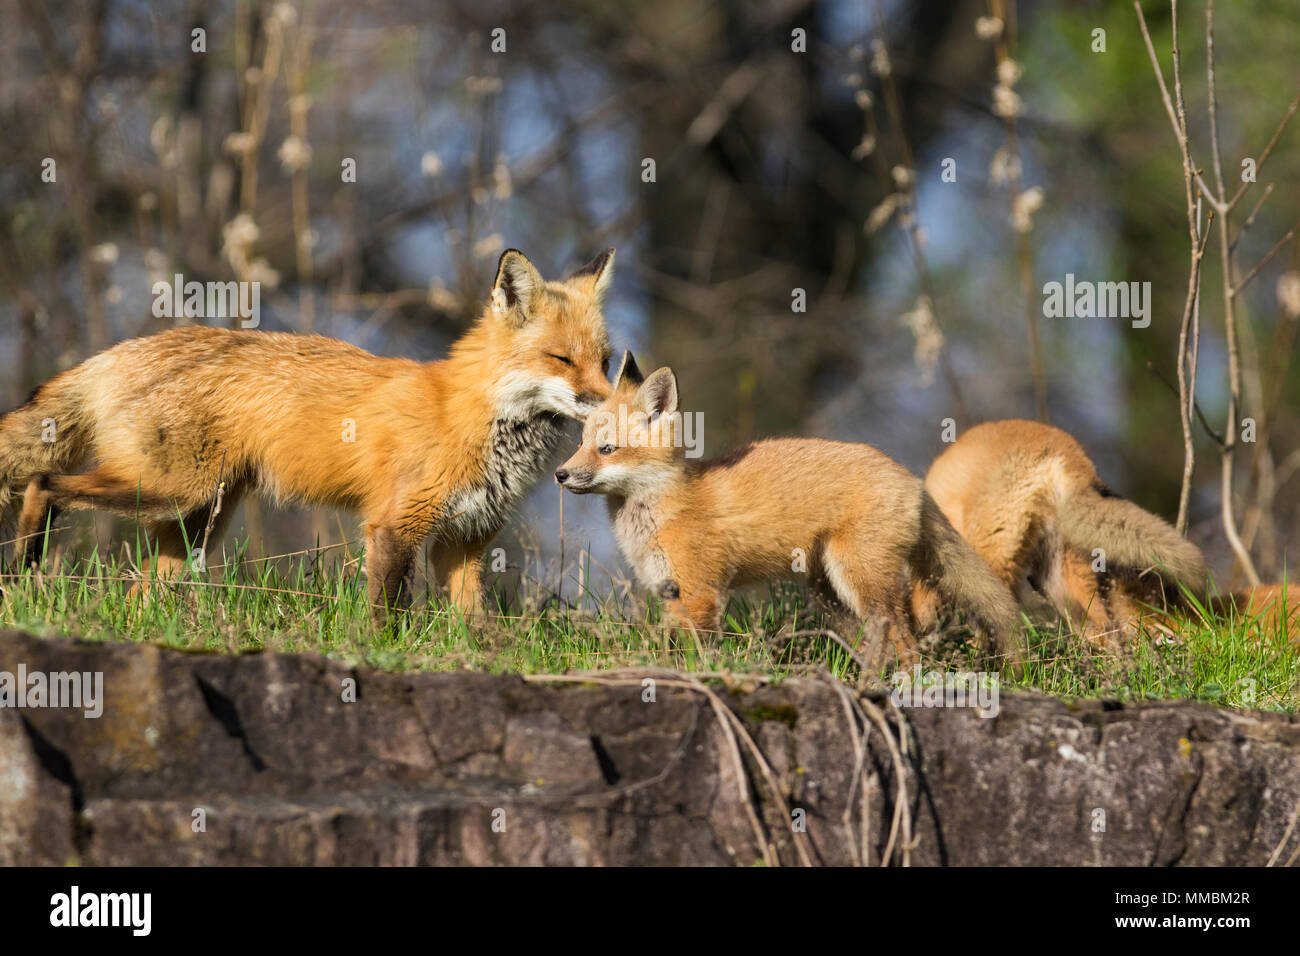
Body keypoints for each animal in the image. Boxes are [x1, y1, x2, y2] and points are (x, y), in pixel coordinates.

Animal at [0, 247, 616, 623]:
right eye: (562, 360)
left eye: (606, 362)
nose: (610, 404)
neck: (477, 417)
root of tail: (113, 353)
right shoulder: (394, 525)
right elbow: (385, 617)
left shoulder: (465, 543)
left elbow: (473, 623)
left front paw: (476, 657)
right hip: (167, 490)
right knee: (43, 483)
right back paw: (22, 569)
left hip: (195, 521)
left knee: (138, 592)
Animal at [555, 353, 1026, 671]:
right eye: (580, 442)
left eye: (607, 449)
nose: (560, 474)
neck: (663, 510)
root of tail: (912, 478)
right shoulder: (671, 593)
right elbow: (670, 647)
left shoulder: (701, 591)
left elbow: (696, 652)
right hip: (831, 593)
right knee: (882, 637)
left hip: (858, 578)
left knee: (903, 636)